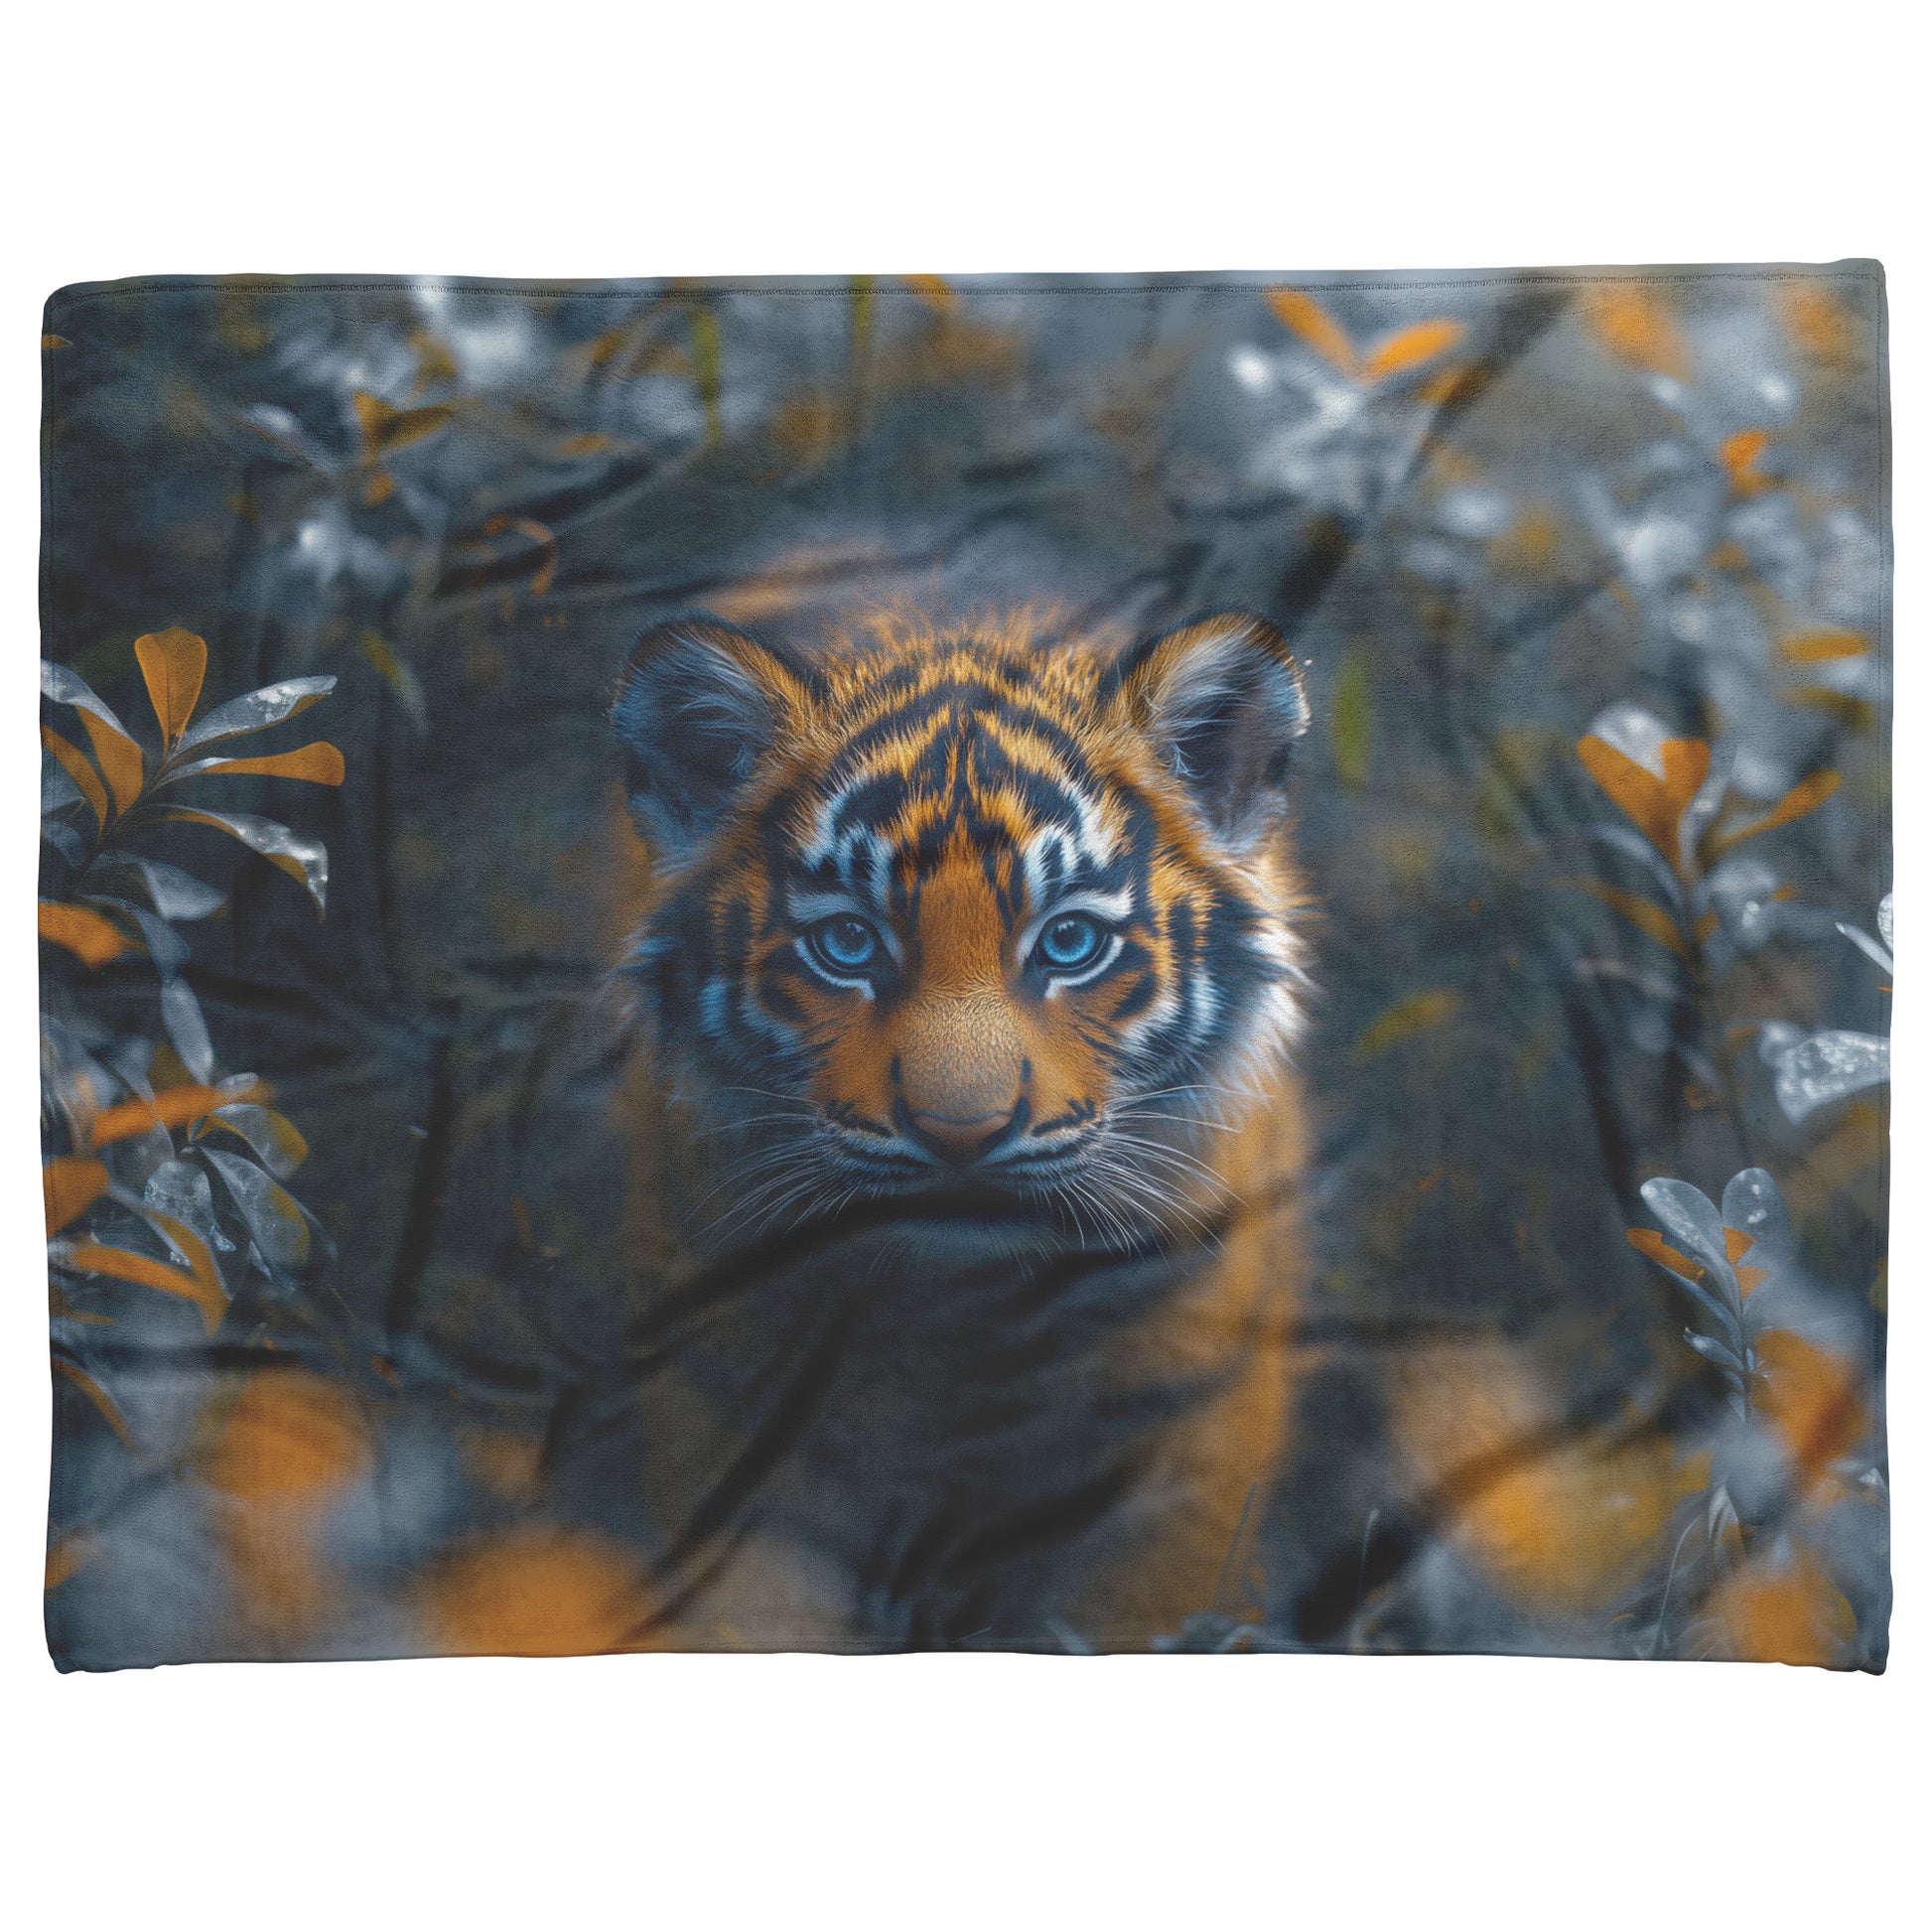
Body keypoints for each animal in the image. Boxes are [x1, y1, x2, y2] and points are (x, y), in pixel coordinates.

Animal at [606, 604, 1315, 1649]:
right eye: (847, 943)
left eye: (1070, 941)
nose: (961, 1132)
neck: (961, 1328)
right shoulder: (733, 1440)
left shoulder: (1175, 1458)